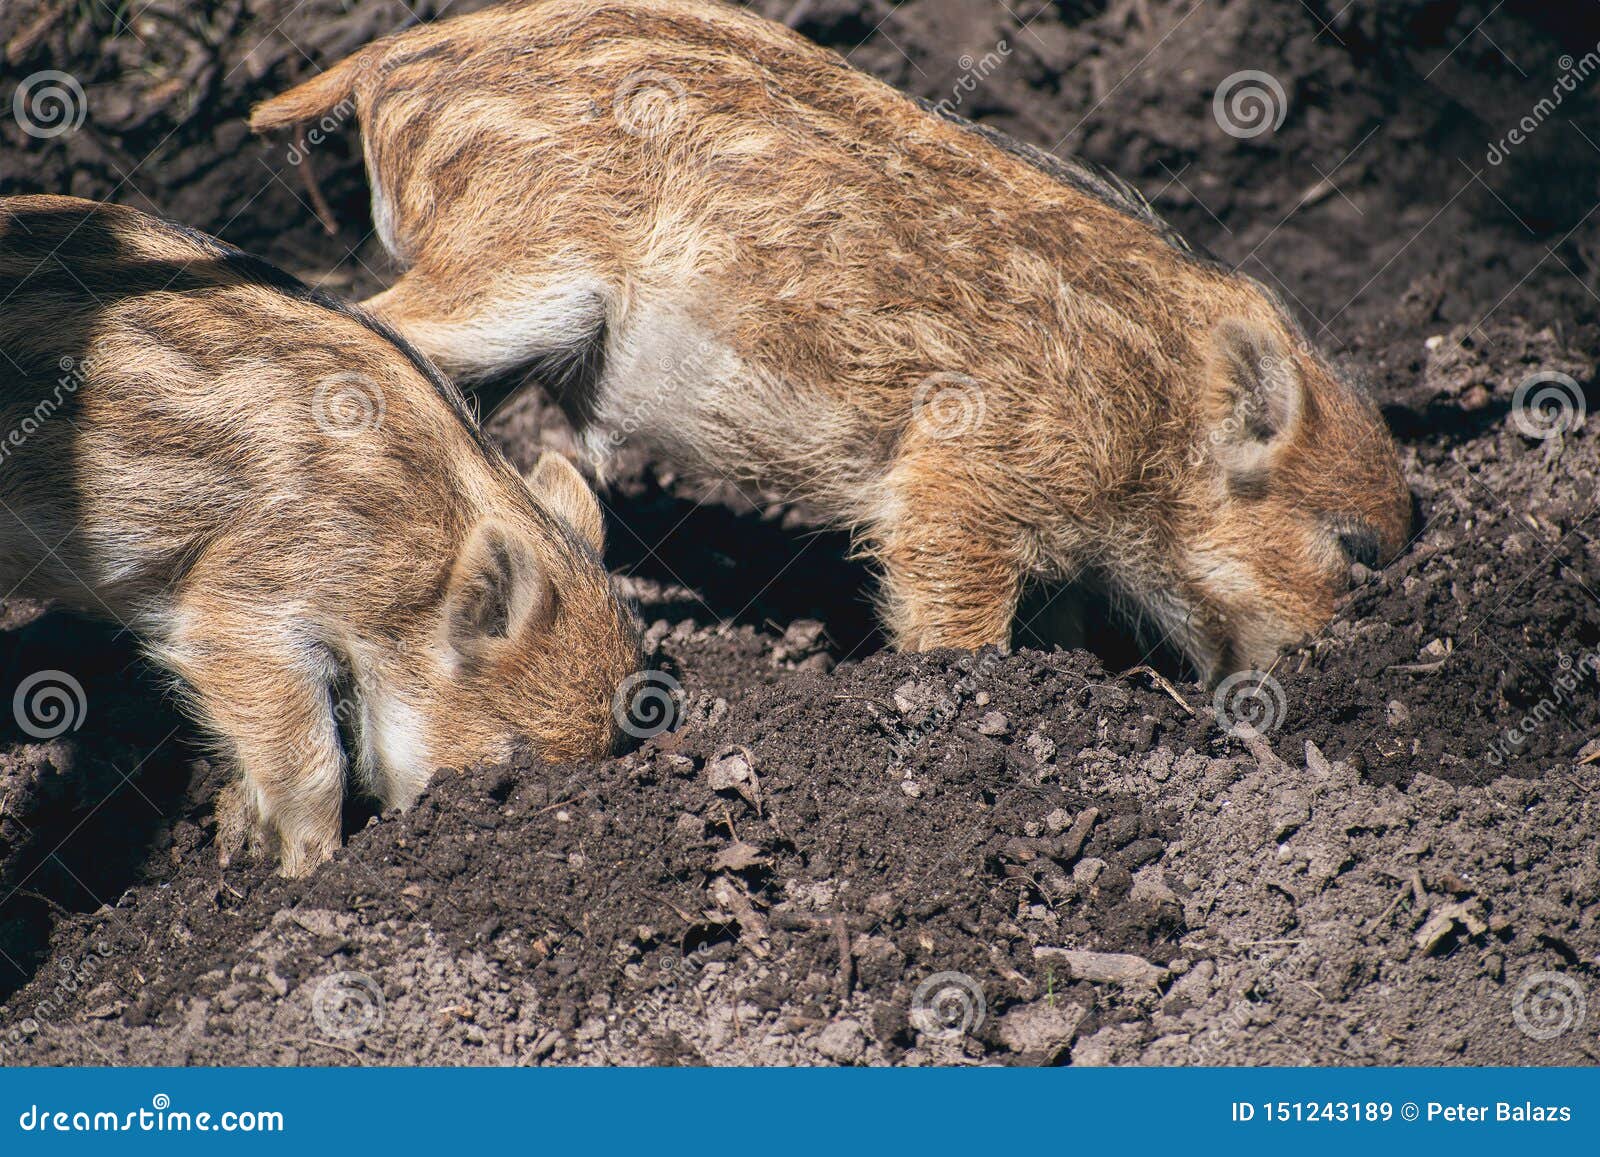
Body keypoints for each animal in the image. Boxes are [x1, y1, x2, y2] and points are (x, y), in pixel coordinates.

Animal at [251, 0, 1412, 683]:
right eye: (1352, 547)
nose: (1323, 673)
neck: (1151, 415)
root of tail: (390, 64)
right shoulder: (959, 477)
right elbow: (950, 601)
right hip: (512, 266)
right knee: (375, 331)